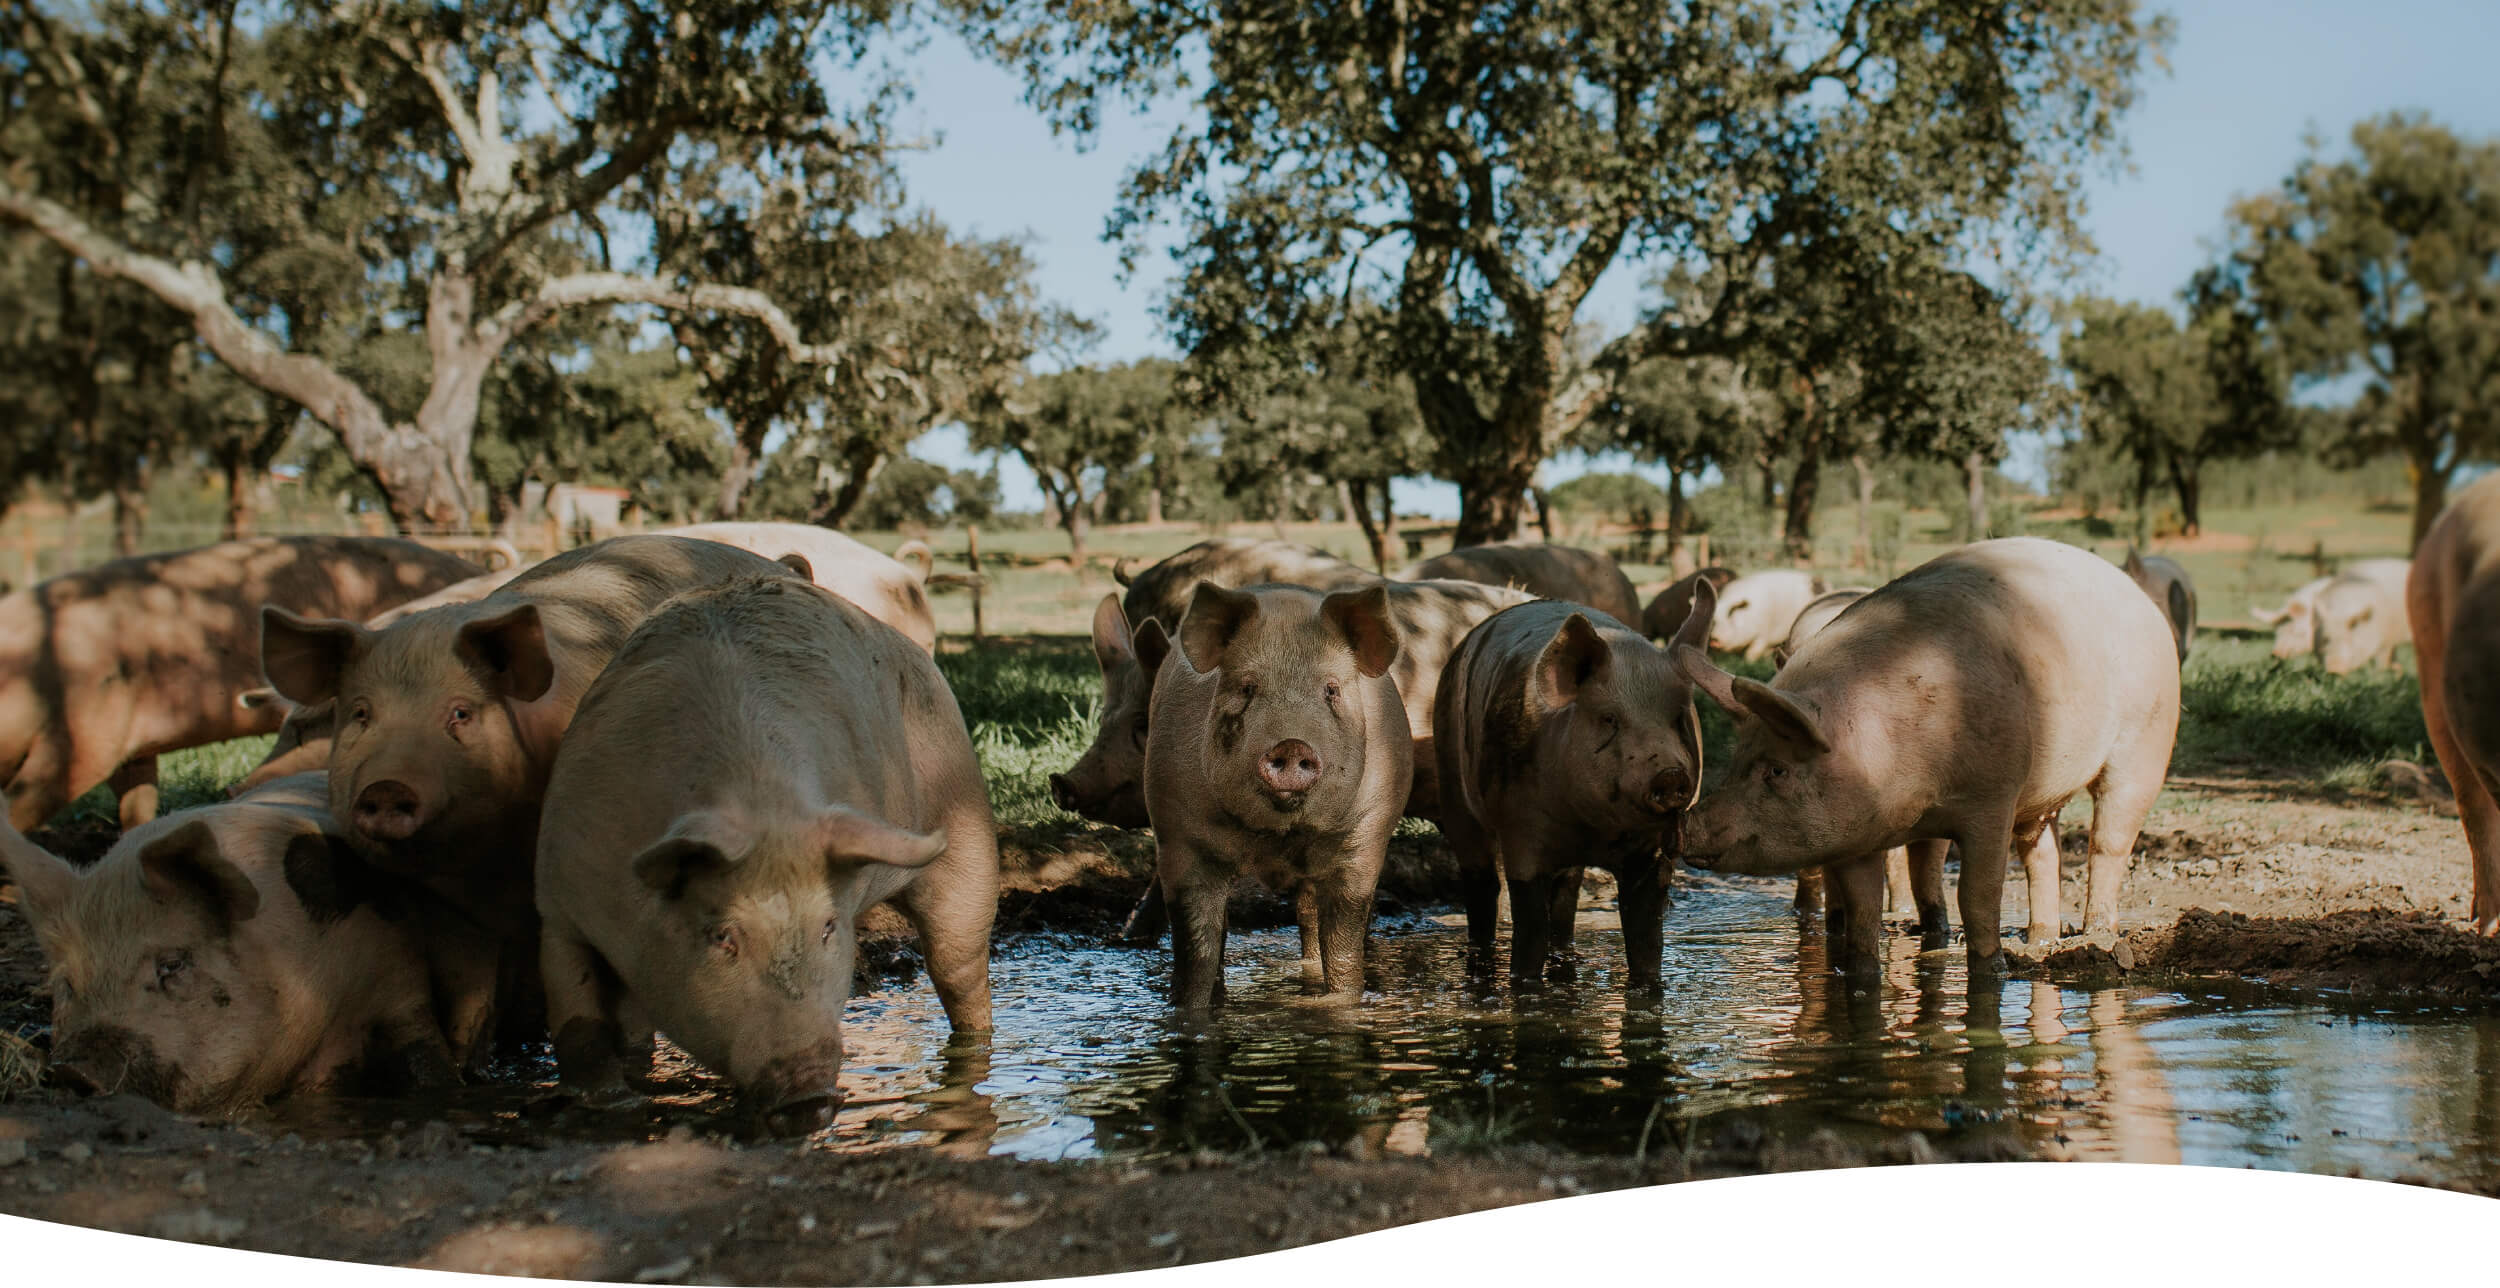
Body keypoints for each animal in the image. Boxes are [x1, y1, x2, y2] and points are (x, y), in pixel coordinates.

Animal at [0, 536, 479, 831]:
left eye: (304, 730)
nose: (231, 791)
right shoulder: (126, 744)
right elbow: (136, 801)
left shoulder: (86, 735)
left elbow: (23, 800)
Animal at [536, 575, 996, 1134]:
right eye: (721, 936)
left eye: (828, 927)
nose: (808, 1091)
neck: (758, 807)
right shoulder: (558, 905)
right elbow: (579, 1030)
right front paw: (606, 1104)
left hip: (965, 823)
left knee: (959, 965)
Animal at [1145, 583, 1410, 1009]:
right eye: (1247, 687)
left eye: (1331, 689)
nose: (1291, 743)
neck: (1278, 837)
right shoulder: (1179, 838)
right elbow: (1195, 949)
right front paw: (1192, 1008)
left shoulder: (1365, 839)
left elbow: (1344, 946)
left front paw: (1341, 1001)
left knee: (1309, 918)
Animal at [1434, 587, 1714, 992]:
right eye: (1610, 719)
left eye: (1678, 718)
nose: (1671, 773)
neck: (1595, 829)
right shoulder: (1520, 829)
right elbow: (1529, 927)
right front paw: (1525, 986)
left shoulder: (1654, 851)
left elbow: (1646, 935)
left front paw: (1648, 987)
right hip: (1453, 788)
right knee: (1481, 885)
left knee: (1566, 897)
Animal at [1672, 537, 2181, 977]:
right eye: (1736, 761)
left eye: (1777, 769)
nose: (1685, 822)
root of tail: (2133, 592)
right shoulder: (1855, 835)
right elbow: (1862, 910)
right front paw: (1862, 973)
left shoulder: (1993, 797)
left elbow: (1977, 895)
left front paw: (1991, 969)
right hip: (2044, 790)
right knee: (2040, 852)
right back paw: (2039, 940)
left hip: (2147, 741)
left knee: (2108, 842)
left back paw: (2095, 937)